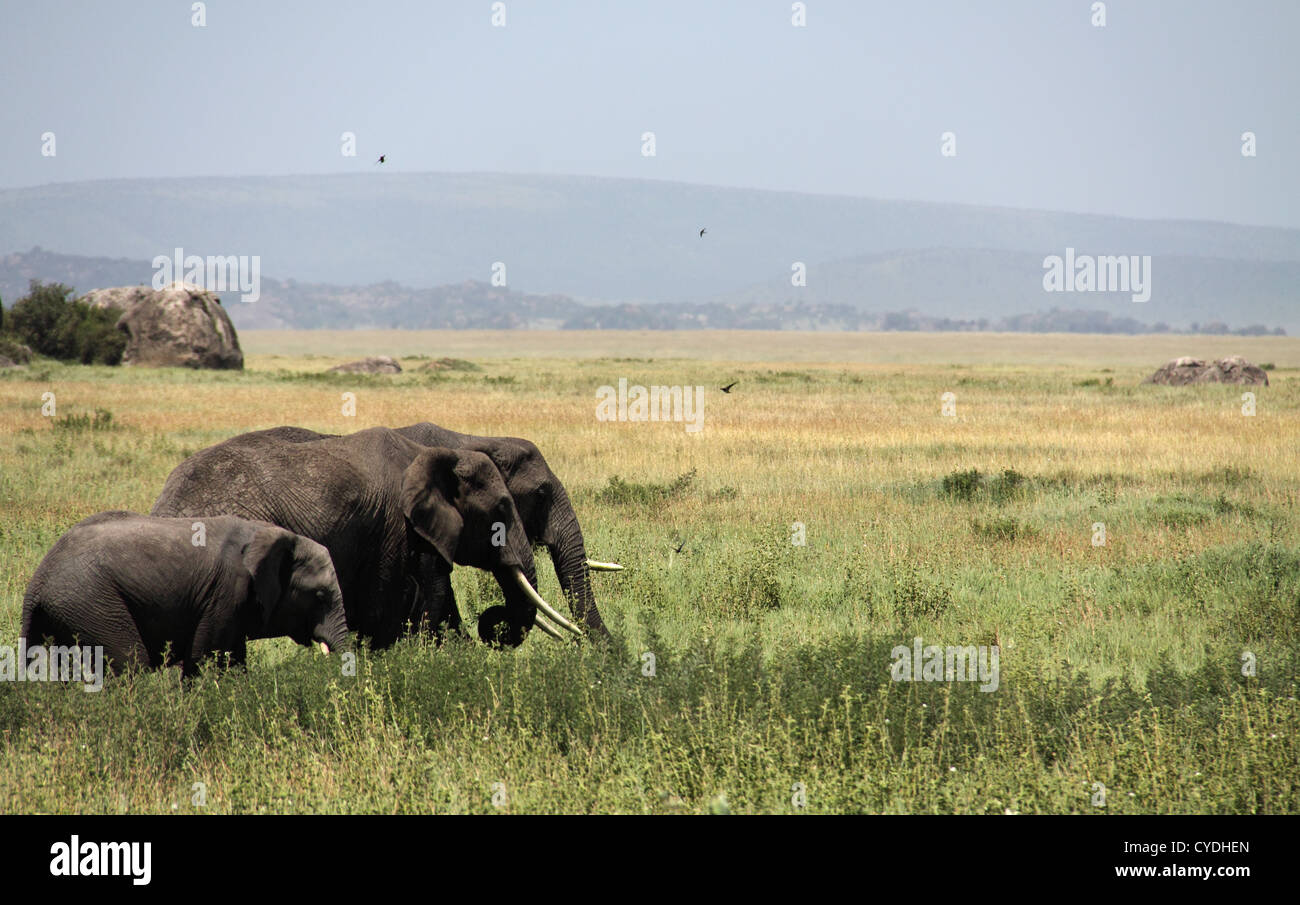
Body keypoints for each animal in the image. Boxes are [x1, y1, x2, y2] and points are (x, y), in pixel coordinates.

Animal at [20, 512, 350, 677]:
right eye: (319, 595)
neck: (274, 534)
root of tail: (37, 582)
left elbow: (234, 661)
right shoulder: (224, 593)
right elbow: (207, 660)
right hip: (91, 605)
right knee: (130, 664)